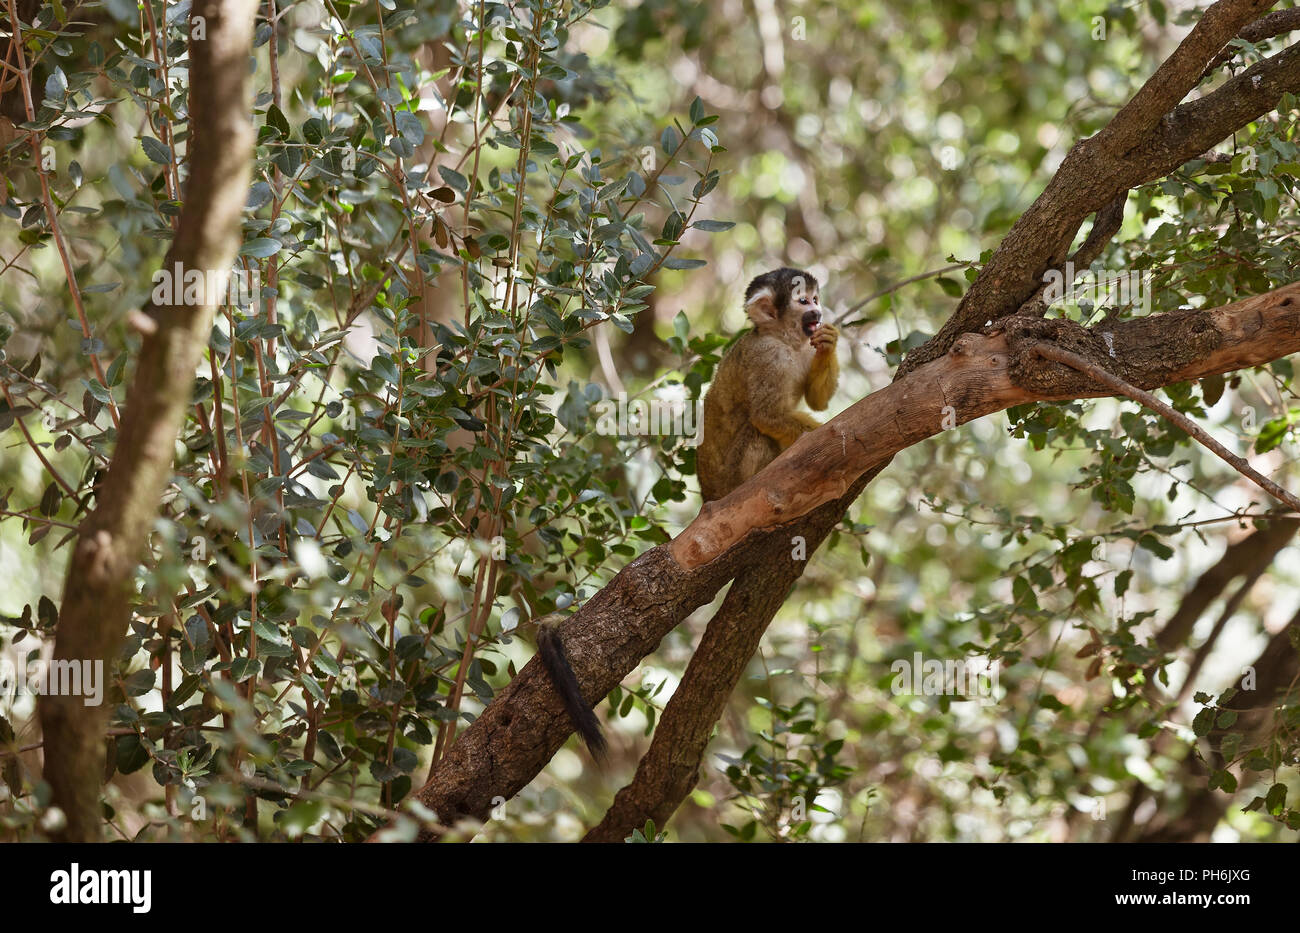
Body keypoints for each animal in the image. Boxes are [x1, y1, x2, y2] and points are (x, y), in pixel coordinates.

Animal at [697, 267, 839, 502]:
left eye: (815, 300)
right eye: (803, 301)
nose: (817, 313)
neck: (784, 340)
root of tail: (708, 495)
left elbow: (816, 401)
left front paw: (829, 342)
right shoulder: (768, 357)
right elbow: (766, 416)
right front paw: (822, 432)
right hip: (730, 479)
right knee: (757, 433)